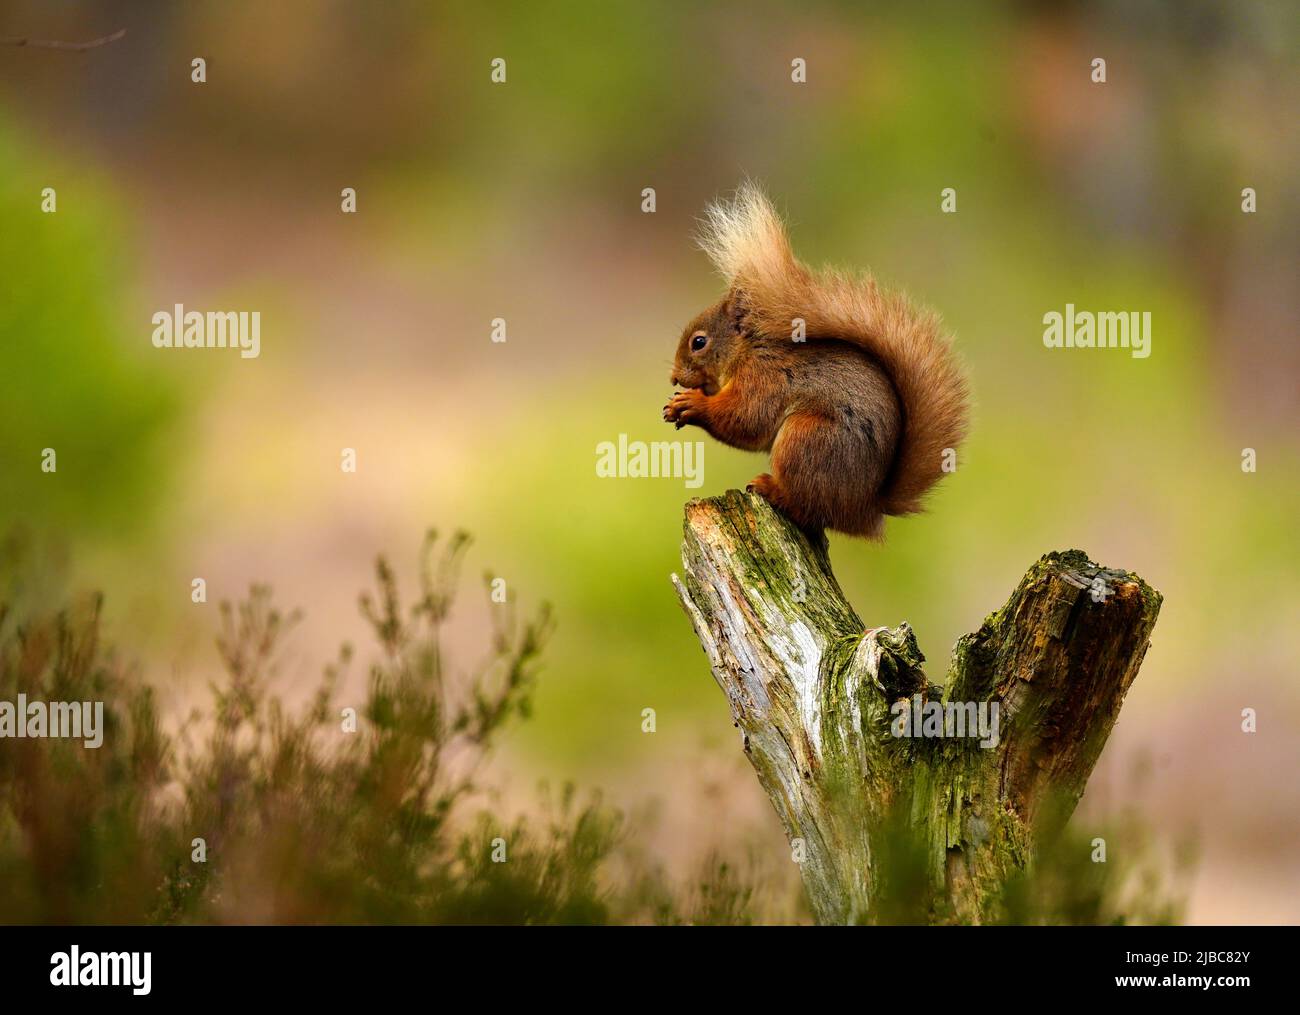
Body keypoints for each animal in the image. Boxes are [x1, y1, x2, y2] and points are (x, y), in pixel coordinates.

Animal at [663, 184, 969, 539]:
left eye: (699, 342)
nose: (674, 378)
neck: (748, 351)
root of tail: (866, 509)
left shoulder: (765, 378)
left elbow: (745, 419)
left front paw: (692, 404)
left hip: (807, 440)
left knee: (807, 508)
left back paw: (772, 489)